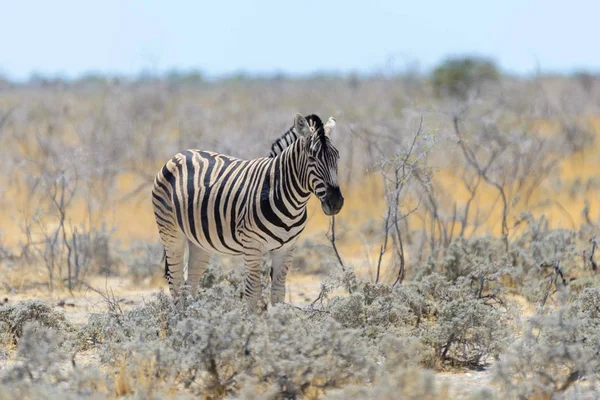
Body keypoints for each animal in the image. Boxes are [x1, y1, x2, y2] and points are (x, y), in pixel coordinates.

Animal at [152, 112, 344, 310]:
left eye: (337, 156)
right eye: (312, 158)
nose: (336, 202)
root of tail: (181, 153)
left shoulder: (287, 248)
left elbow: (278, 292)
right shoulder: (252, 246)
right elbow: (253, 292)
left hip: (199, 240)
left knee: (190, 283)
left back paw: (190, 315)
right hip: (170, 232)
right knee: (175, 282)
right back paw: (179, 317)